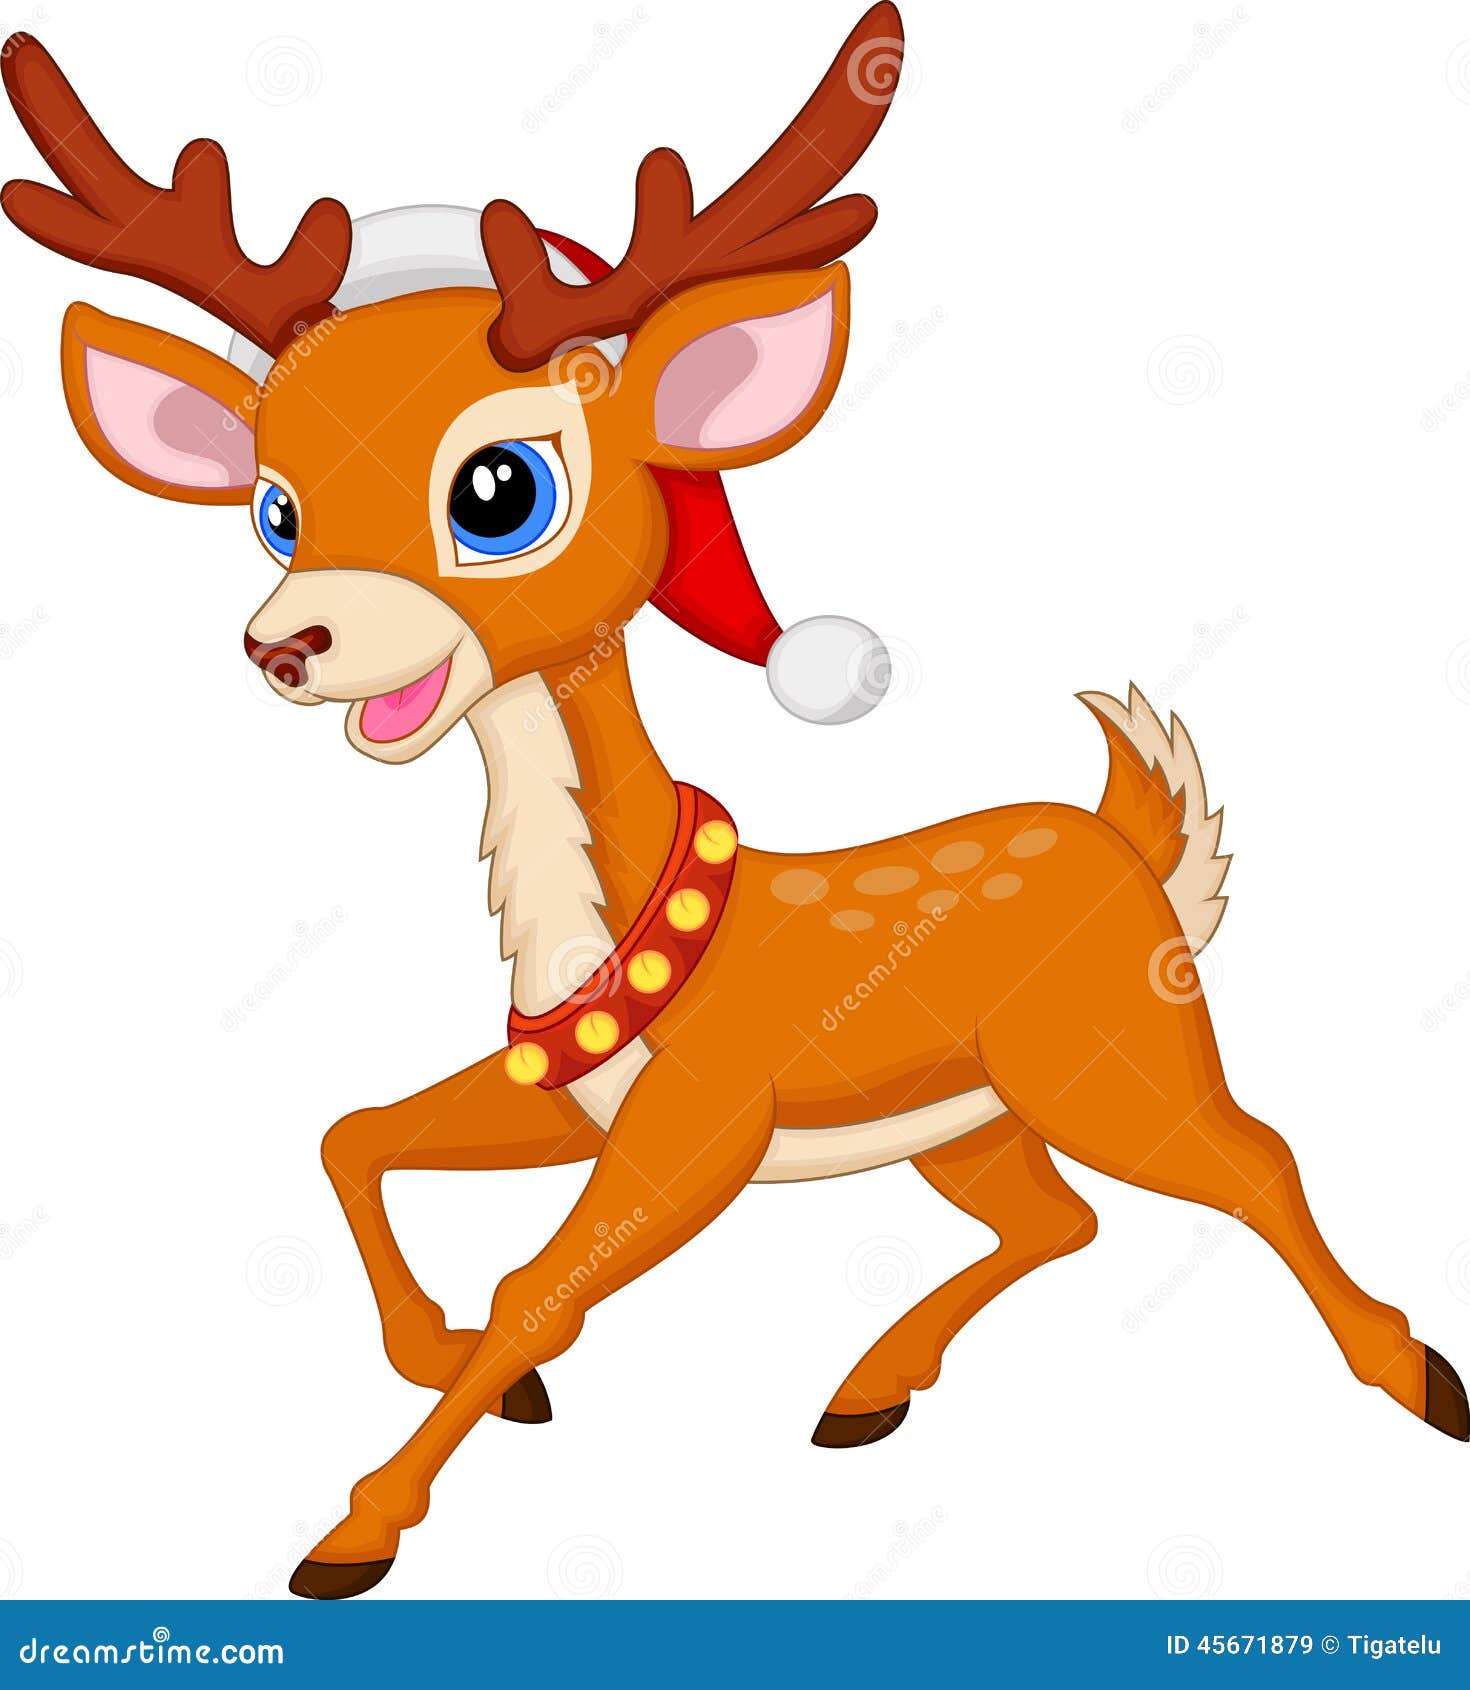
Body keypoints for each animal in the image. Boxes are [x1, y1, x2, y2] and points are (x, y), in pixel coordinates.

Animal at [3, 6, 1464, 1601]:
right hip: (968, 1117)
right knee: (1061, 1215)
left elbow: (536, 1285)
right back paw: (868, 1388)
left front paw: (354, 1528)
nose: (285, 642)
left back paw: (1415, 1378)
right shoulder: (566, 1094)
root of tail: (1128, 846)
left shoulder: (699, 1128)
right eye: (274, 506)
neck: (624, 928)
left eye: (498, 488)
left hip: (1116, 1059)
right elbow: (355, 1131)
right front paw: (451, 1367)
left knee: (1255, 1157)